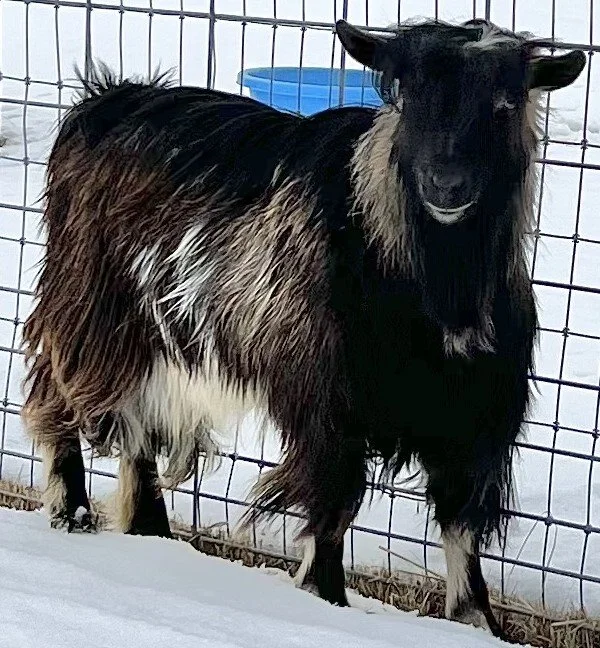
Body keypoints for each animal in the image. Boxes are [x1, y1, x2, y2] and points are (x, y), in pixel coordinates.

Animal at [21, 18, 585, 638]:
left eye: (506, 103)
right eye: (406, 96)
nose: (447, 184)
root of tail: (102, 100)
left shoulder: (473, 420)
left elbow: (462, 526)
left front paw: (475, 620)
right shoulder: (328, 404)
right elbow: (334, 504)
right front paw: (325, 597)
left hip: (165, 337)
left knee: (142, 422)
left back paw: (149, 528)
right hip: (90, 307)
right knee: (58, 388)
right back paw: (73, 512)